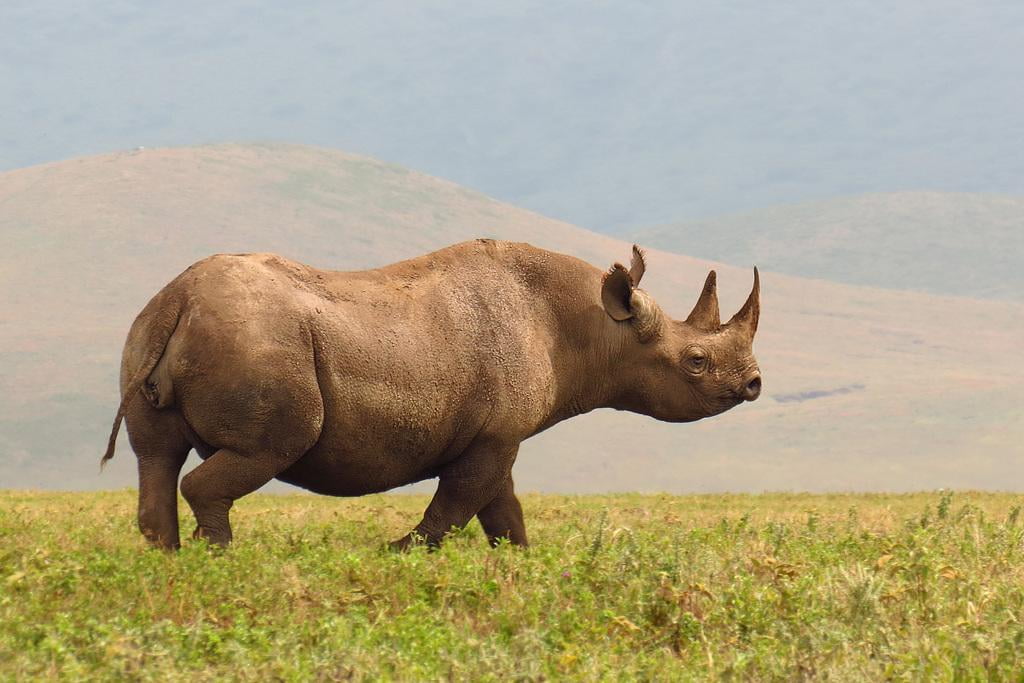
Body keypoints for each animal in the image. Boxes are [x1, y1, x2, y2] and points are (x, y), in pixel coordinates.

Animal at [102, 239, 761, 550]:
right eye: (696, 362)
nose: (753, 384)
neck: (600, 327)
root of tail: (179, 299)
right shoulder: (495, 434)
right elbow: (458, 505)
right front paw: (393, 554)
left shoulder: (496, 435)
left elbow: (503, 511)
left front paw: (521, 572)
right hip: (260, 342)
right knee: (268, 448)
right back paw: (222, 561)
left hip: (148, 329)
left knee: (155, 457)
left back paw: (171, 563)